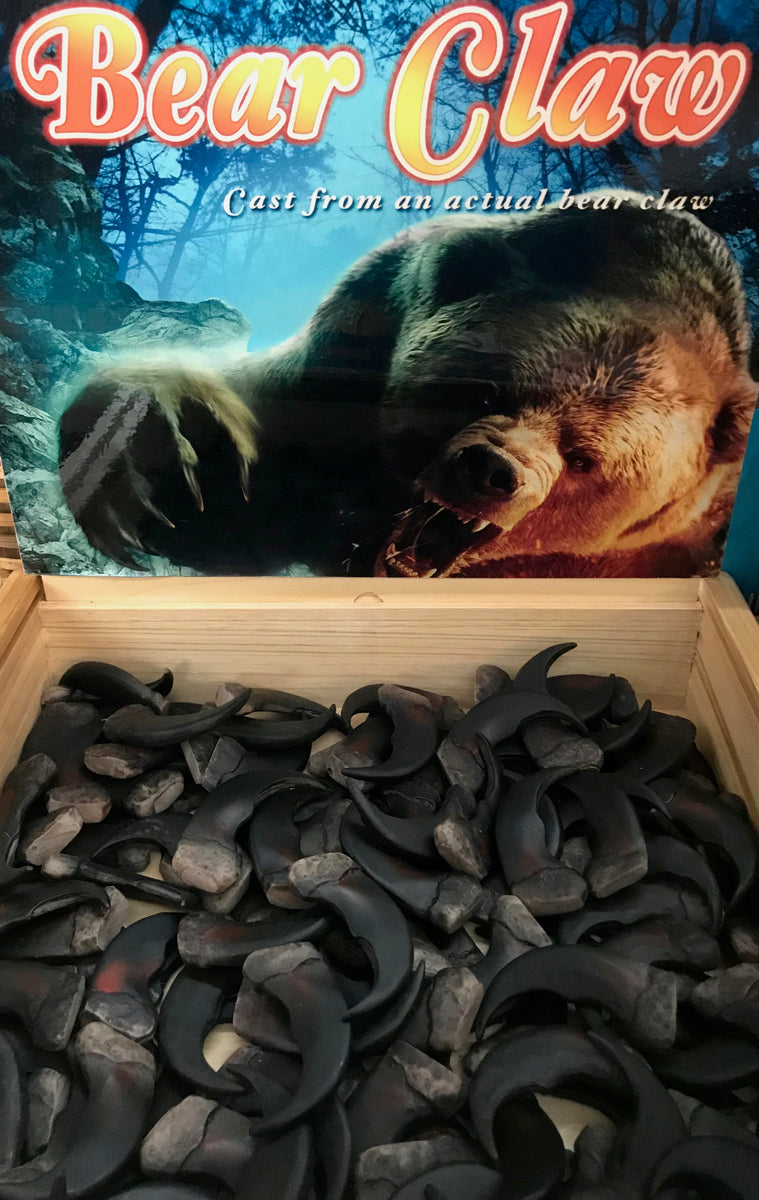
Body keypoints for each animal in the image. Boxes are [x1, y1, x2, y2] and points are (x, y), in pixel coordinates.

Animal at [58, 194, 757, 578]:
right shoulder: (341, 375)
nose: (491, 471)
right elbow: (239, 505)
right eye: (487, 391)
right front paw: (155, 456)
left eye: (585, 458)